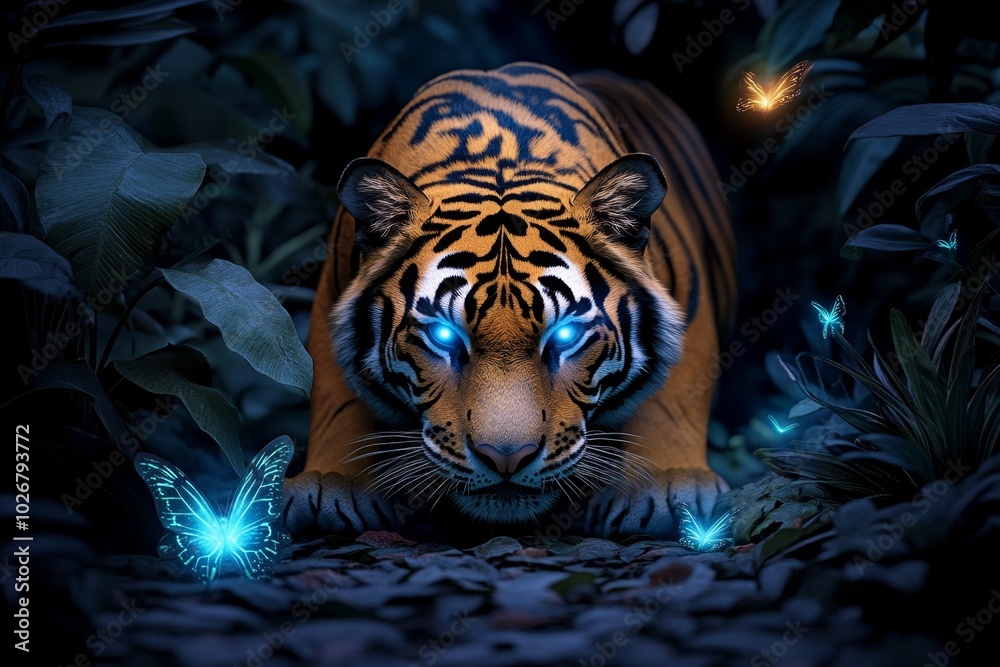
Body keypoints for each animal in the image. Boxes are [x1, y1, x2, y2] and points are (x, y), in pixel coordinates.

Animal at [283, 62, 737, 539]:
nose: (506, 457)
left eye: (566, 335)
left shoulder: (689, 308)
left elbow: (672, 397)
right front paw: (332, 486)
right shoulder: (330, 302)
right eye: (444, 336)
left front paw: (667, 488)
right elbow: (336, 399)